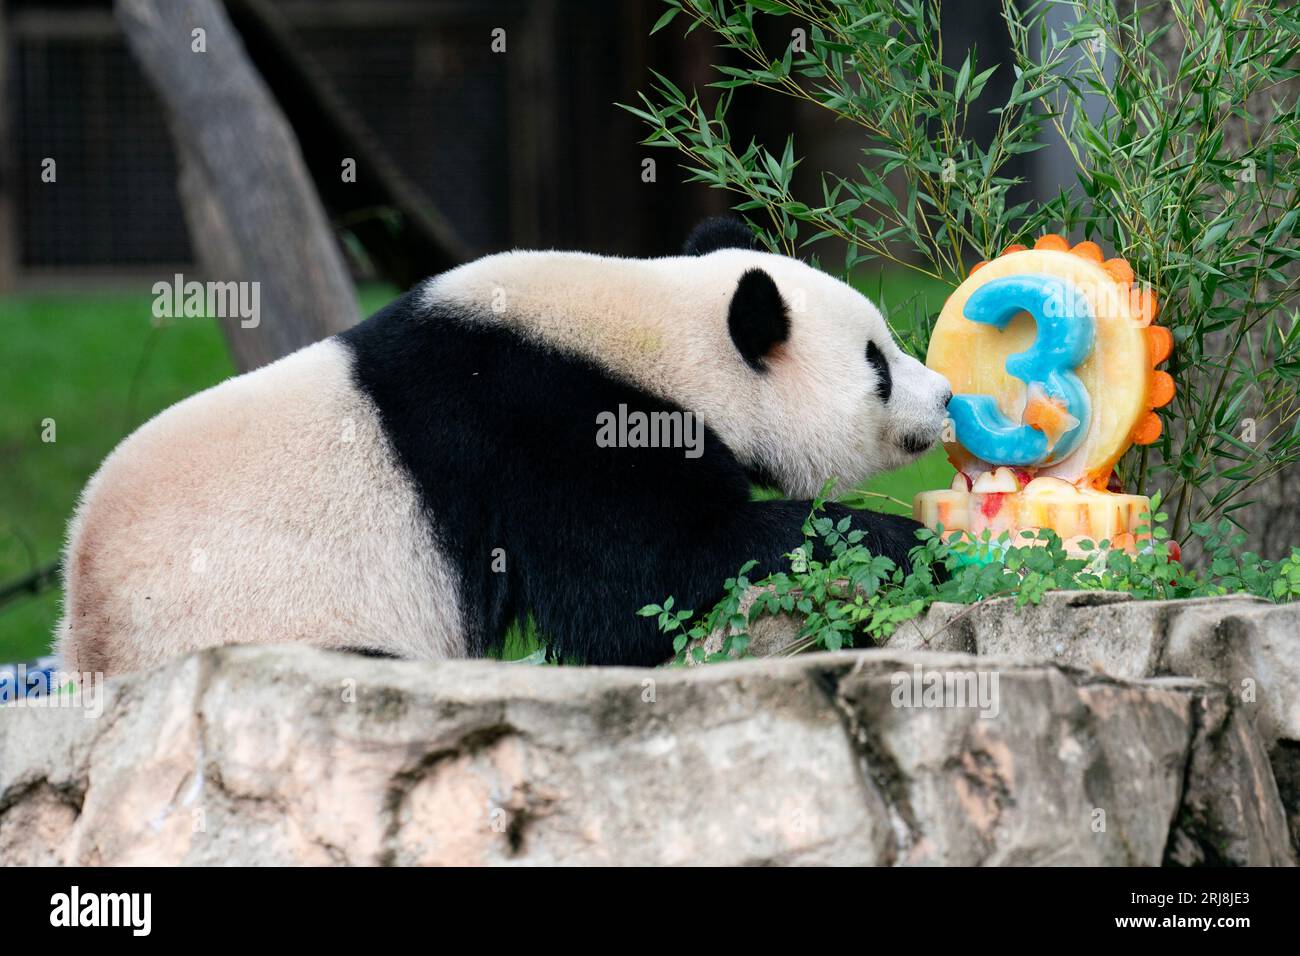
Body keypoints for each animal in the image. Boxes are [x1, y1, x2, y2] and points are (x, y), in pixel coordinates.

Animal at [56, 218, 952, 675]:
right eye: (877, 363)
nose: (945, 396)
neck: (658, 327)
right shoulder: (553, 427)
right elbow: (637, 587)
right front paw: (904, 541)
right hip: (253, 618)